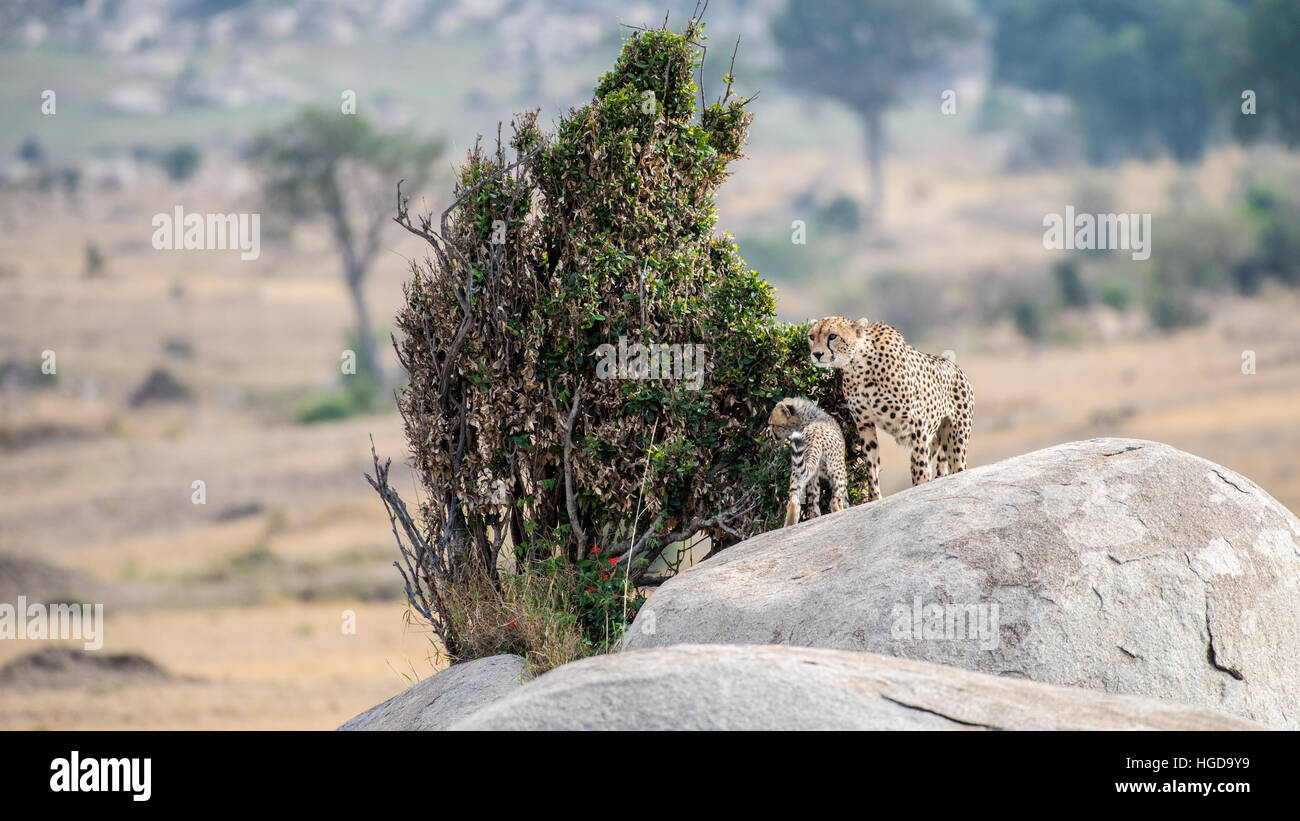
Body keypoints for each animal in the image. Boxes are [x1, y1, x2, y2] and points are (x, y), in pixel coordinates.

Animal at [766, 396, 850, 527]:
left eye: (773, 425)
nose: (769, 435)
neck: (805, 417)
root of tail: (814, 436)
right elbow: (845, 497)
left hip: (800, 472)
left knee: (799, 502)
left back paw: (790, 525)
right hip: (838, 469)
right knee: (835, 500)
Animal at [807, 316, 973, 502]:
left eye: (833, 336)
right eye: (812, 337)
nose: (817, 354)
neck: (858, 365)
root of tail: (956, 367)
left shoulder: (916, 422)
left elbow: (919, 466)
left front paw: (919, 488)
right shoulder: (864, 423)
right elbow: (871, 465)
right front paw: (875, 498)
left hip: (955, 441)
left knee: (955, 465)